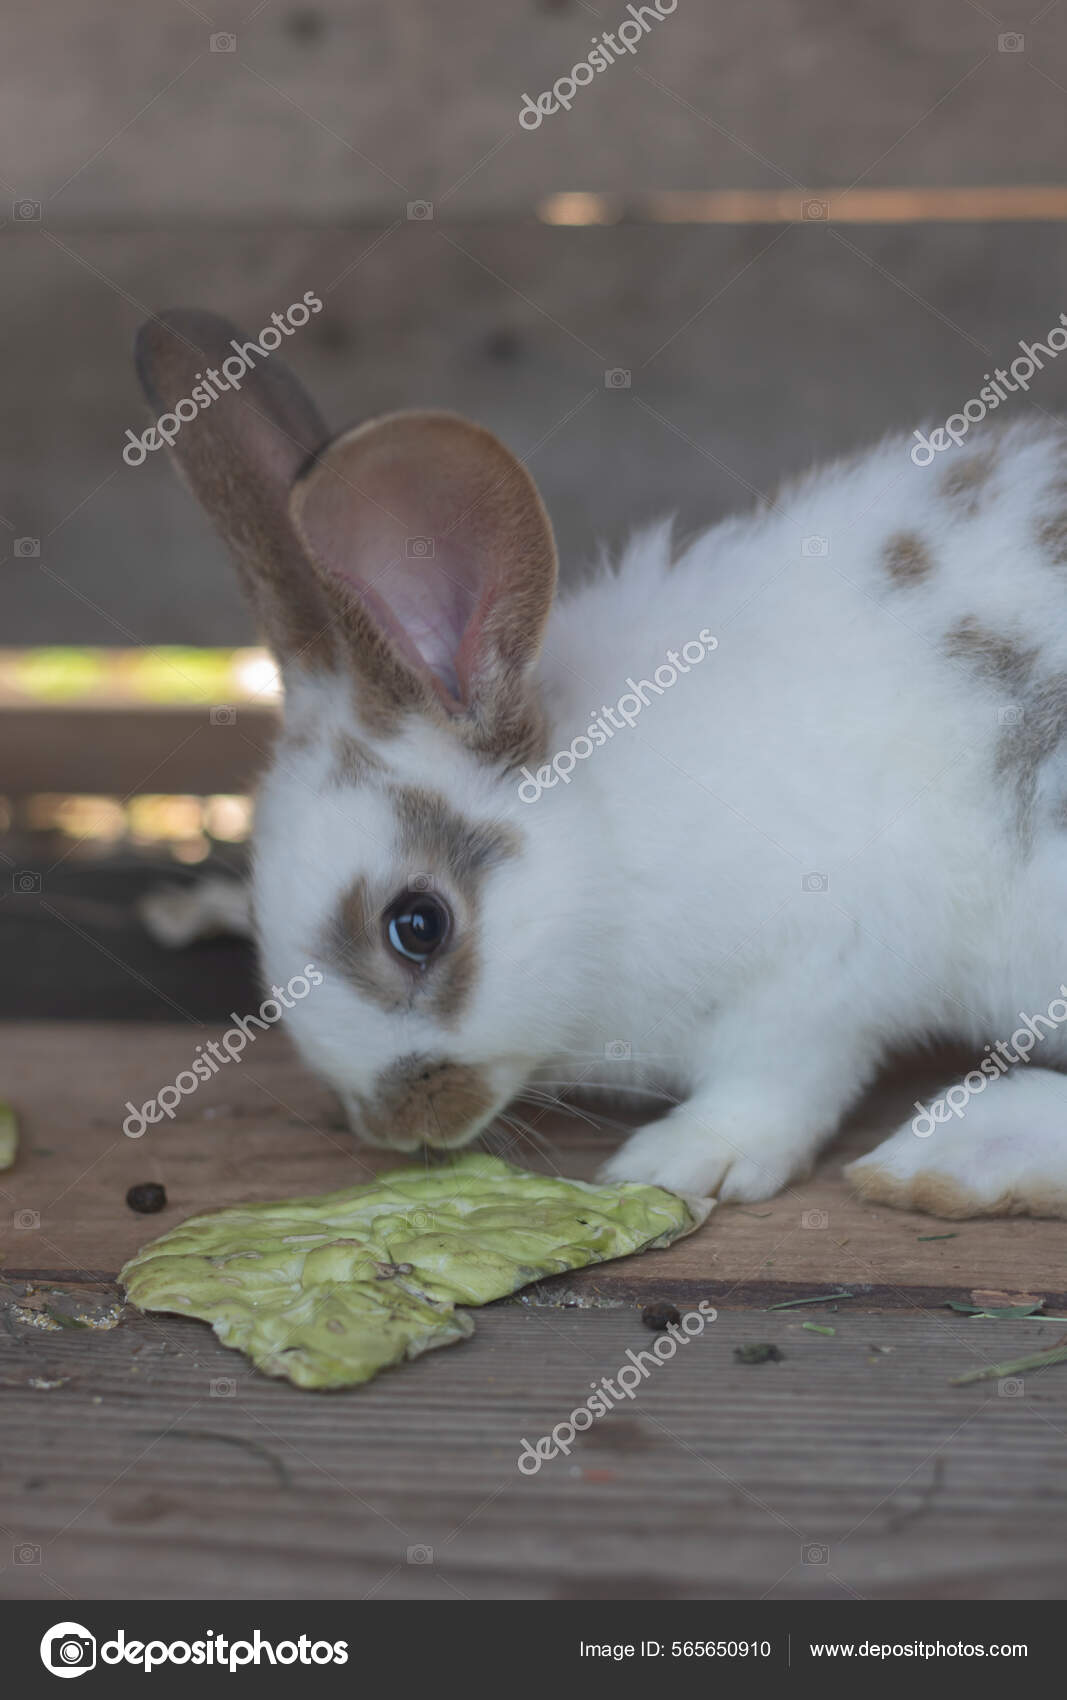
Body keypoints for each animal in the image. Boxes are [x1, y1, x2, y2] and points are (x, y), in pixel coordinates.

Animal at [135, 307, 1067, 1218]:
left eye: (417, 926)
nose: (401, 1125)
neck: (608, 847)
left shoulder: (818, 981)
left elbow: (777, 1085)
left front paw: (684, 1162)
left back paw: (955, 1157)